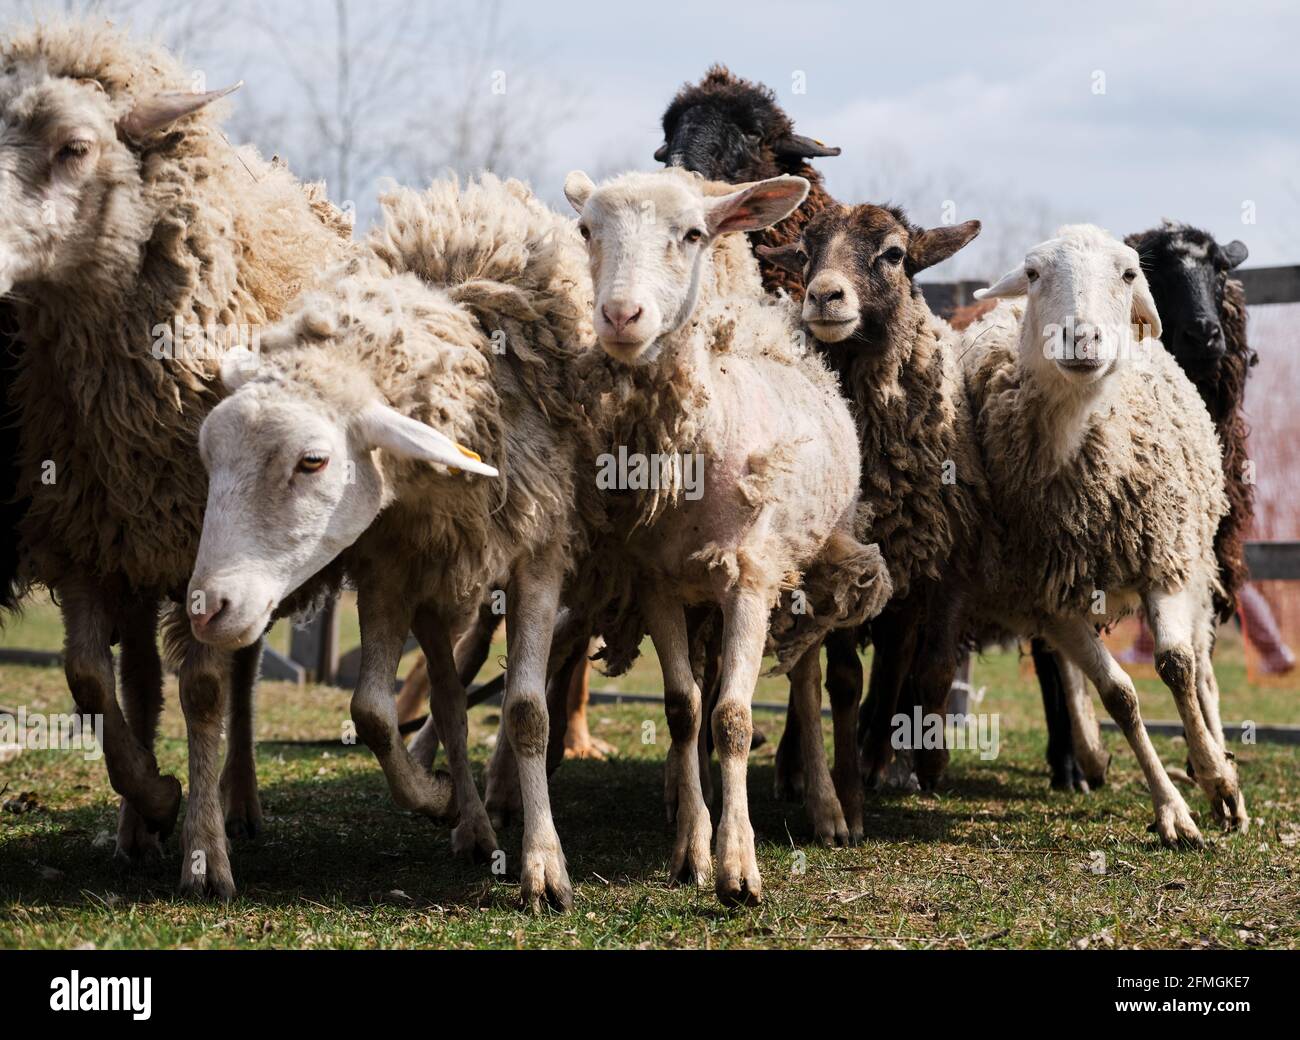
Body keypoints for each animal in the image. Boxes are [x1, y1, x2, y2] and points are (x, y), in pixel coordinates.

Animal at [0, 18, 352, 895]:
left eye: (75, 147)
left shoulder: (203, 535)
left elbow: (203, 691)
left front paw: (202, 850)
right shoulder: (86, 536)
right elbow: (89, 677)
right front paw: (153, 797)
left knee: (244, 674)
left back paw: (239, 802)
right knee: (138, 680)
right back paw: (139, 824)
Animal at [189, 173, 596, 911]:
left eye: (313, 462)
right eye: (208, 456)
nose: (207, 609)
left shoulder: (540, 551)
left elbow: (526, 711)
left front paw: (544, 865)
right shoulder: (388, 565)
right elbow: (373, 711)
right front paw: (431, 796)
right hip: (441, 580)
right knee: (449, 698)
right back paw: (468, 820)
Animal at [562, 167, 892, 903]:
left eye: (691, 234)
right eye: (586, 230)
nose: (620, 316)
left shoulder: (749, 575)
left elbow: (735, 718)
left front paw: (738, 866)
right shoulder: (655, 583)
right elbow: (686, 709)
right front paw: (692, 848)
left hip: (804, 565)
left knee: (804, 681)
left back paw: (828, 810)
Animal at [757, 203, 986, 830]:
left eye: (894, 254)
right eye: (805, 252)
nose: (823, 296)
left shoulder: (925, 563)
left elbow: (915, 669)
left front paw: (911, 763)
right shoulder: (847, 565)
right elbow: (841, 681)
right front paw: (848, 804)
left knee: (897, 665)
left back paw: (881, 757)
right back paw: (797, 769)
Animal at [961, 224, 1248, 845]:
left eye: (1128, 273)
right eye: (1034, 272)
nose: (1082, 337)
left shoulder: (1163, 557)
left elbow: (1176, 666)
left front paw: (1218, 782)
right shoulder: (1049, 598)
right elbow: (1119, 694)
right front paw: (1172, 811)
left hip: (1196, 554)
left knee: (1201, 663)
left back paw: (1215, 753)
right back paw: (1090, 758)